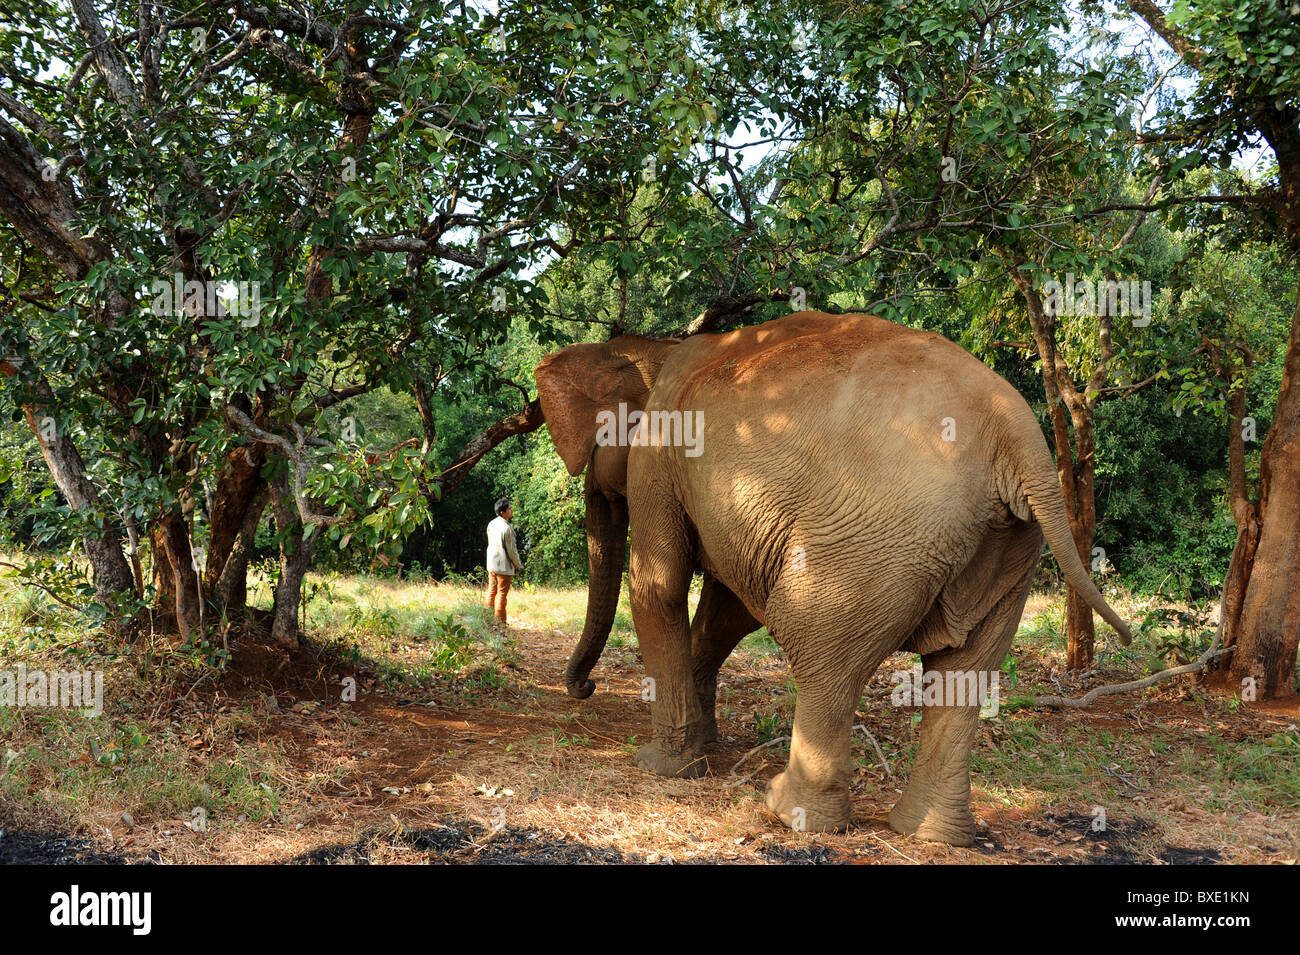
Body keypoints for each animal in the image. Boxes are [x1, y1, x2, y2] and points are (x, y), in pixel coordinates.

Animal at [533, 310, 1131, 846]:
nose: (582, 688)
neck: (658, 350)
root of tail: (1019, 439)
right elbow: (729, 610)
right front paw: (705, 745)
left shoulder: (659, 456)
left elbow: (660, 586)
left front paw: (663, 765)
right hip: (1008, 548)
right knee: (964, 670)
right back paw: (930, 835)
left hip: (873, 540)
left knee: (819, 647)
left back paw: (788, 812)